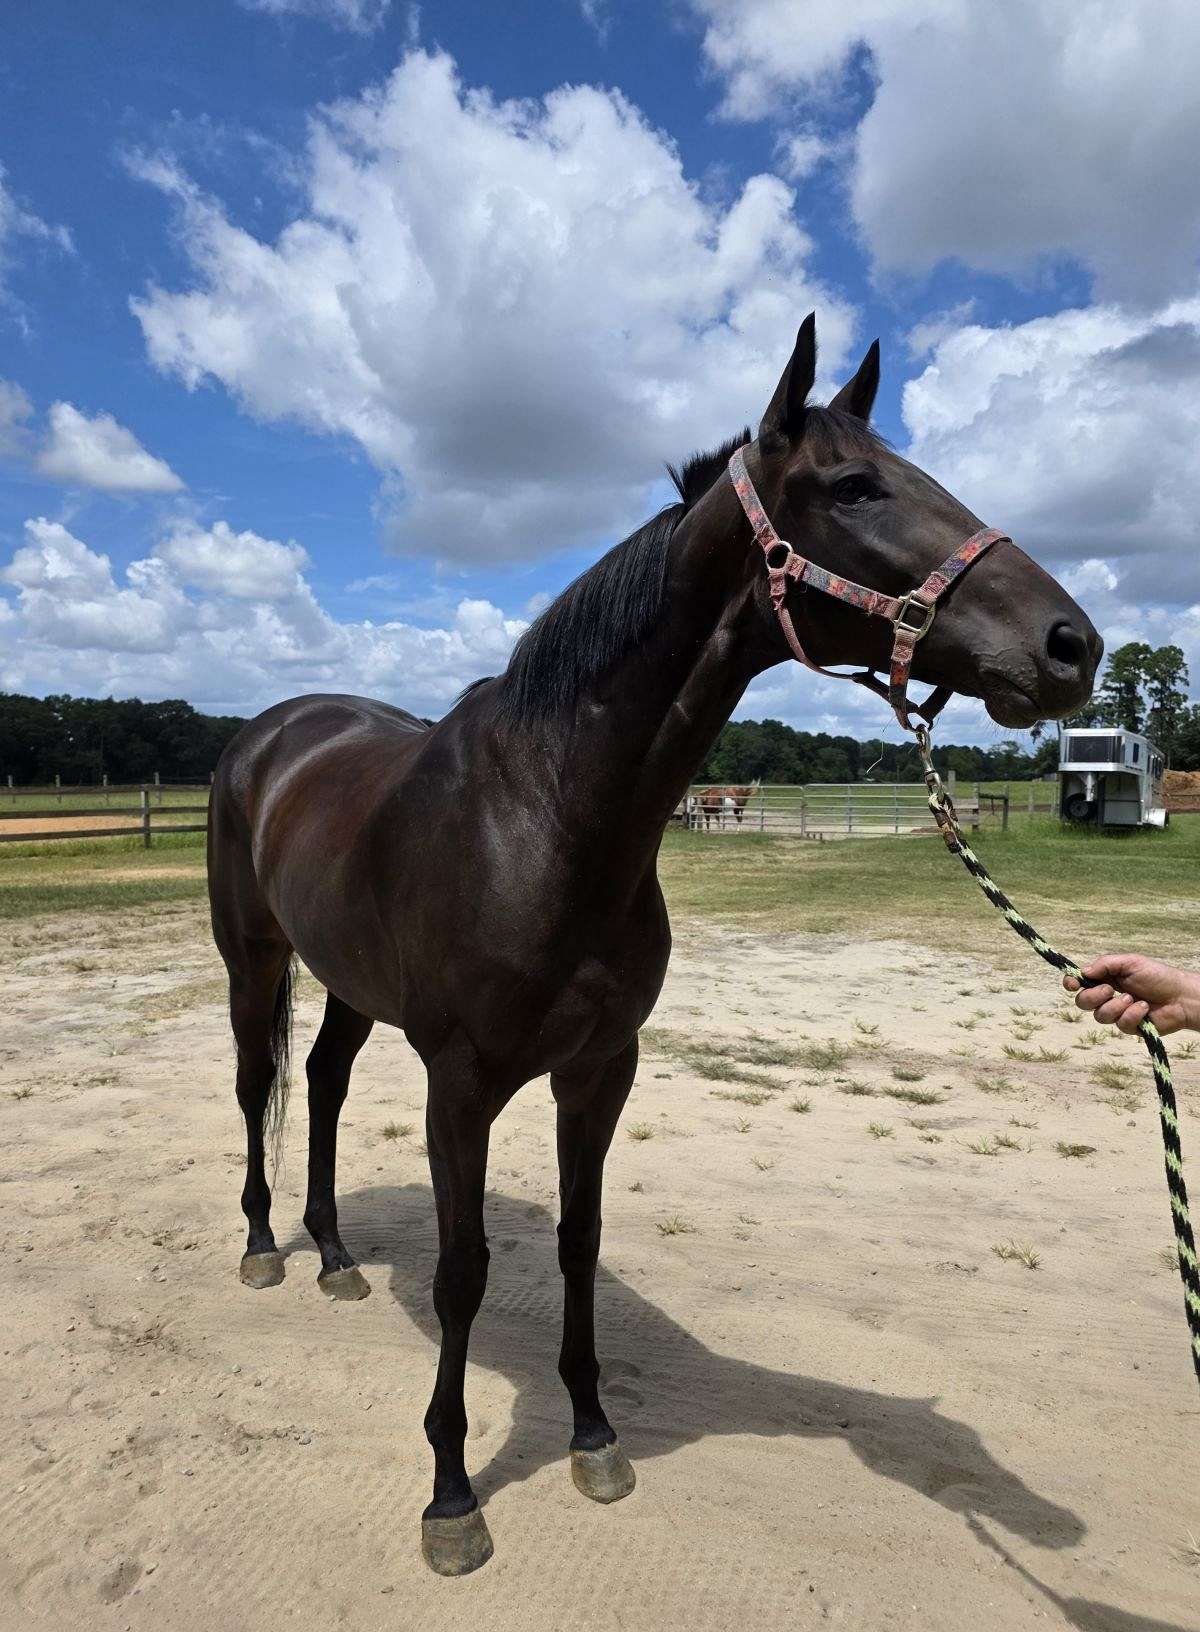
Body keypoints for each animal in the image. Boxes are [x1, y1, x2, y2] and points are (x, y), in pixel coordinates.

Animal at [207, 314, 1100, 1576]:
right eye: (856, 486)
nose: (1073, 645)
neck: (545, 818)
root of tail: (272, 735)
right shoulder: (461, 1084)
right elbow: (463, 1271)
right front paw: (451, 1494)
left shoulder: (601, 1069)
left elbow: (580, 1242)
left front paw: (592, 1433)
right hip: (253, 957)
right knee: (259, 1086)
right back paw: (265, 1247)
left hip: (349, 984)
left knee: (324, 1083)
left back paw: (334, 1257)